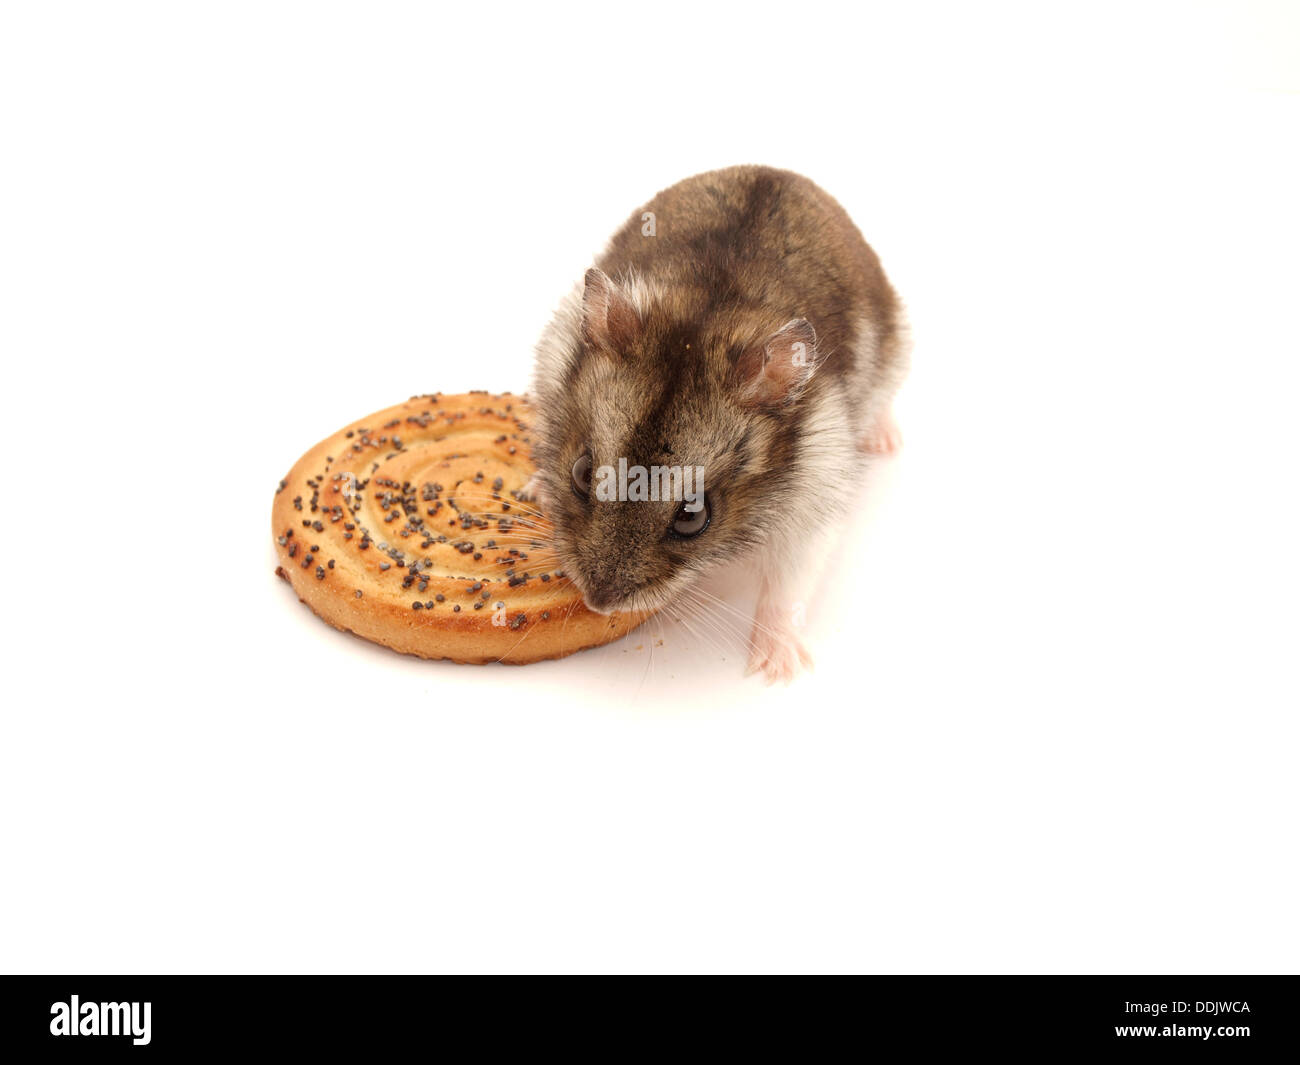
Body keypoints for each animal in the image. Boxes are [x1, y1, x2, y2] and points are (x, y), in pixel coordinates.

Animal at [525, 165, 909, 683]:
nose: (598, 603)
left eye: (693, 517)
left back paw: (886, 441)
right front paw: (536, 489)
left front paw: (775, 670)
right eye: (583, 474)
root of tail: (778, 169)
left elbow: (788, 585)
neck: (710, 315)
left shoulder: (813, 500)